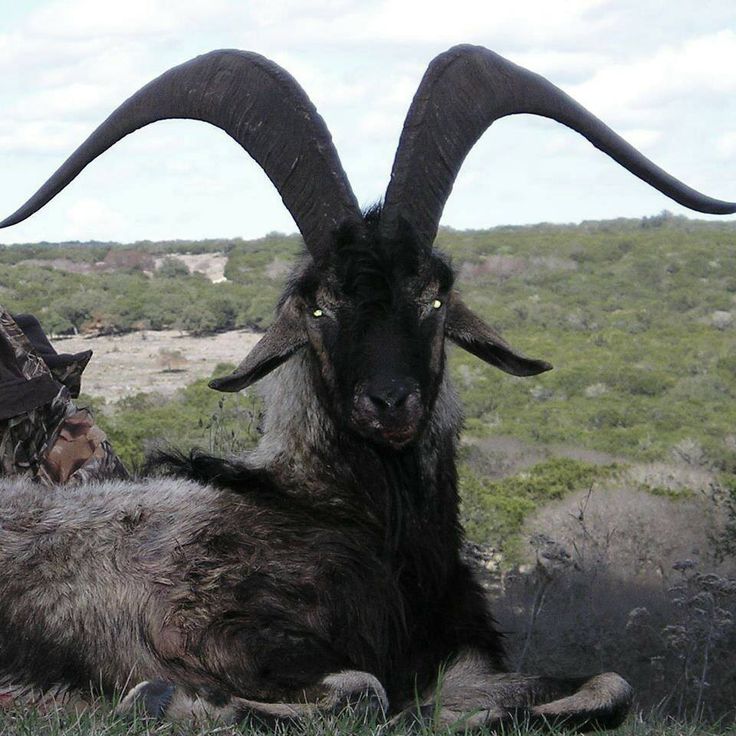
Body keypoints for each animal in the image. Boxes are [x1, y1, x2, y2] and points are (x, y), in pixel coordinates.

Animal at [0, 45, 734, 731]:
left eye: (433, 296)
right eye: (319, 307)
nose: (389, 402)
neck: (353, 520)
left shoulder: (458, 656)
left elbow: (611, 685)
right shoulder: (207, 631)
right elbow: (363, 690)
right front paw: (164, 698)